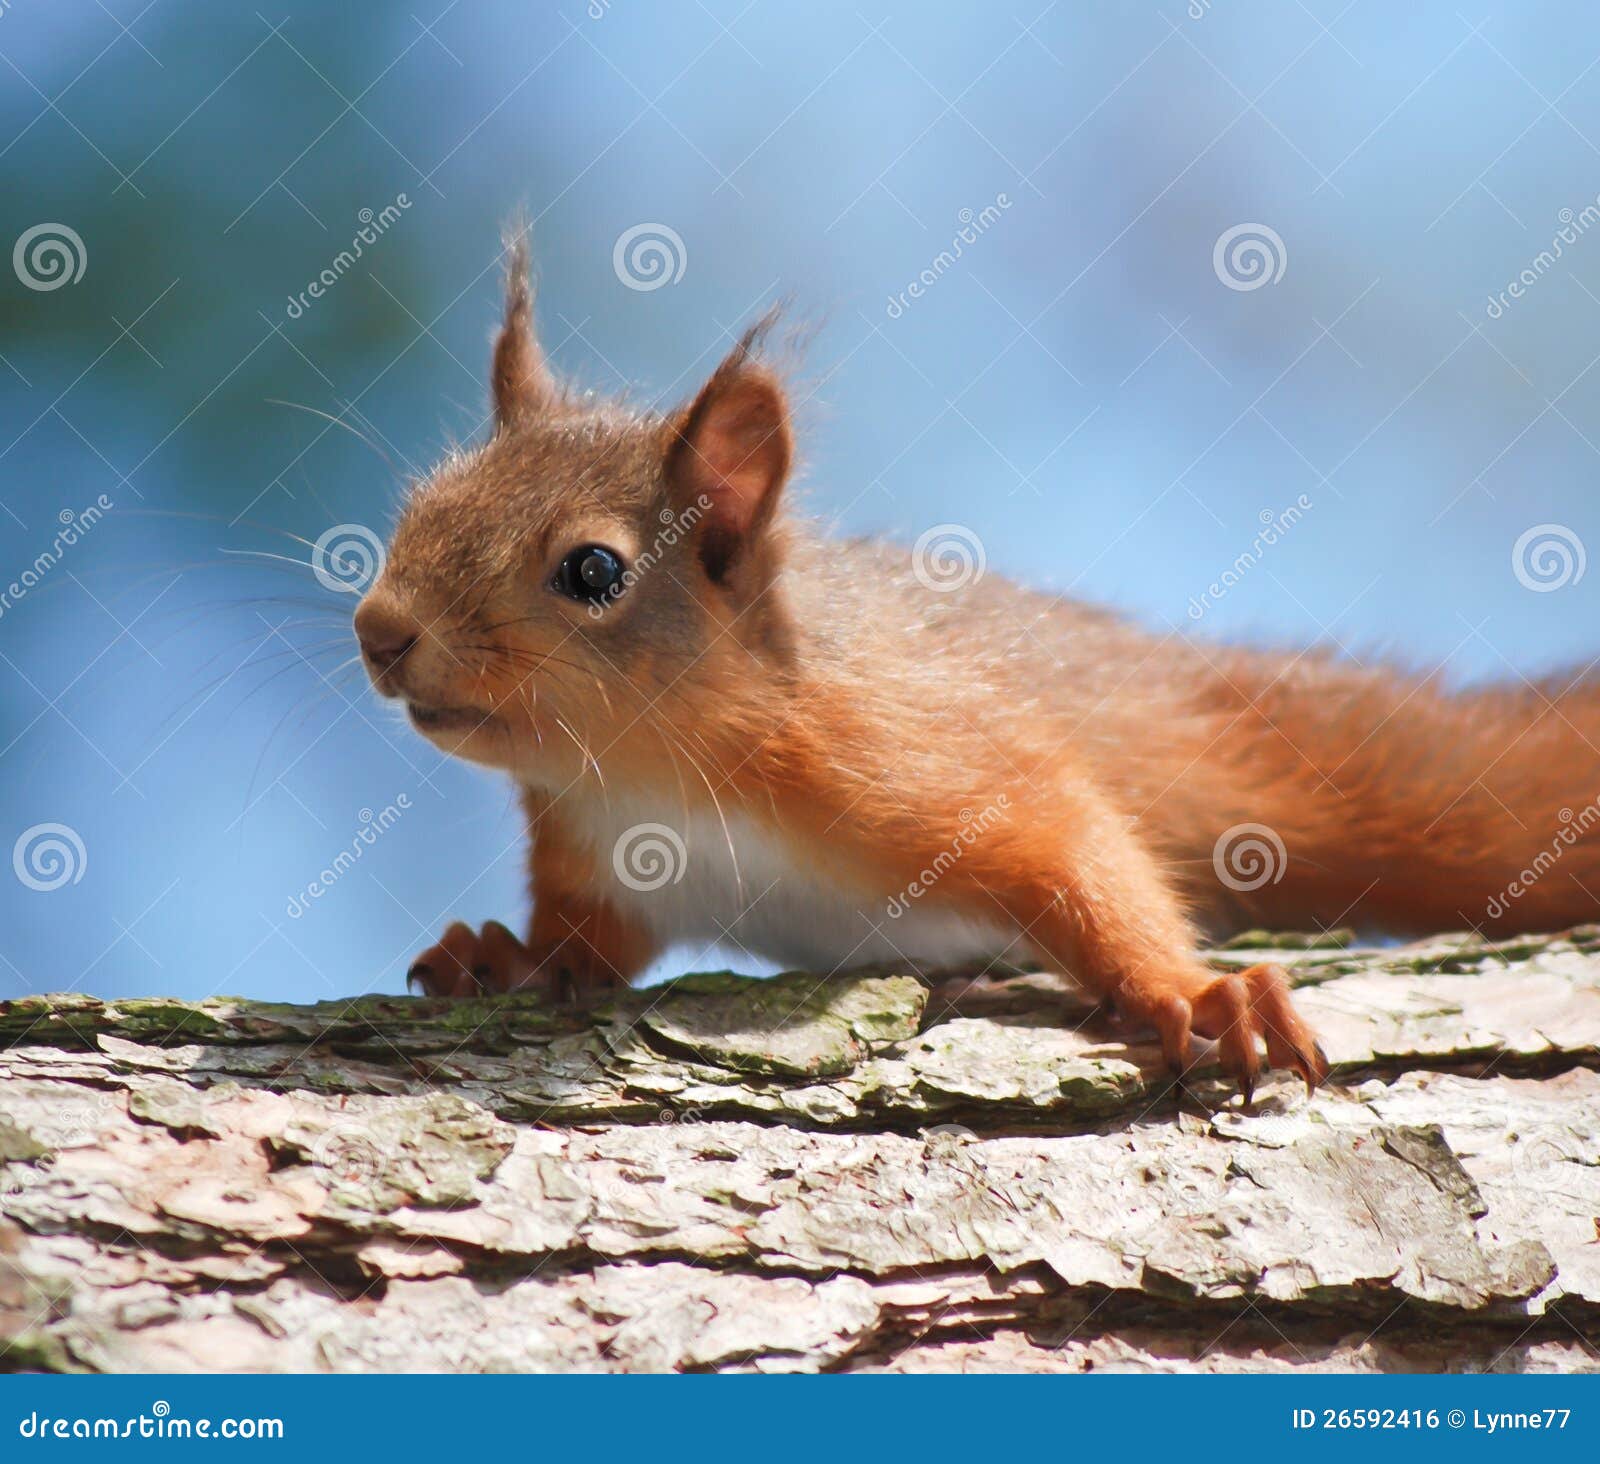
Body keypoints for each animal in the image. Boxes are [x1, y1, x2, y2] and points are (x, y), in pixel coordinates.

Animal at [352, 235, 1596, 1099]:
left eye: (594, 570)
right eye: (420, 503)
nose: (378, 630)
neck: (651, 778)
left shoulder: (919, 758)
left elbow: (1075, 848)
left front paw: (1194, 988)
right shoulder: (600, 861)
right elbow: (590, 949)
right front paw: (502, 959)